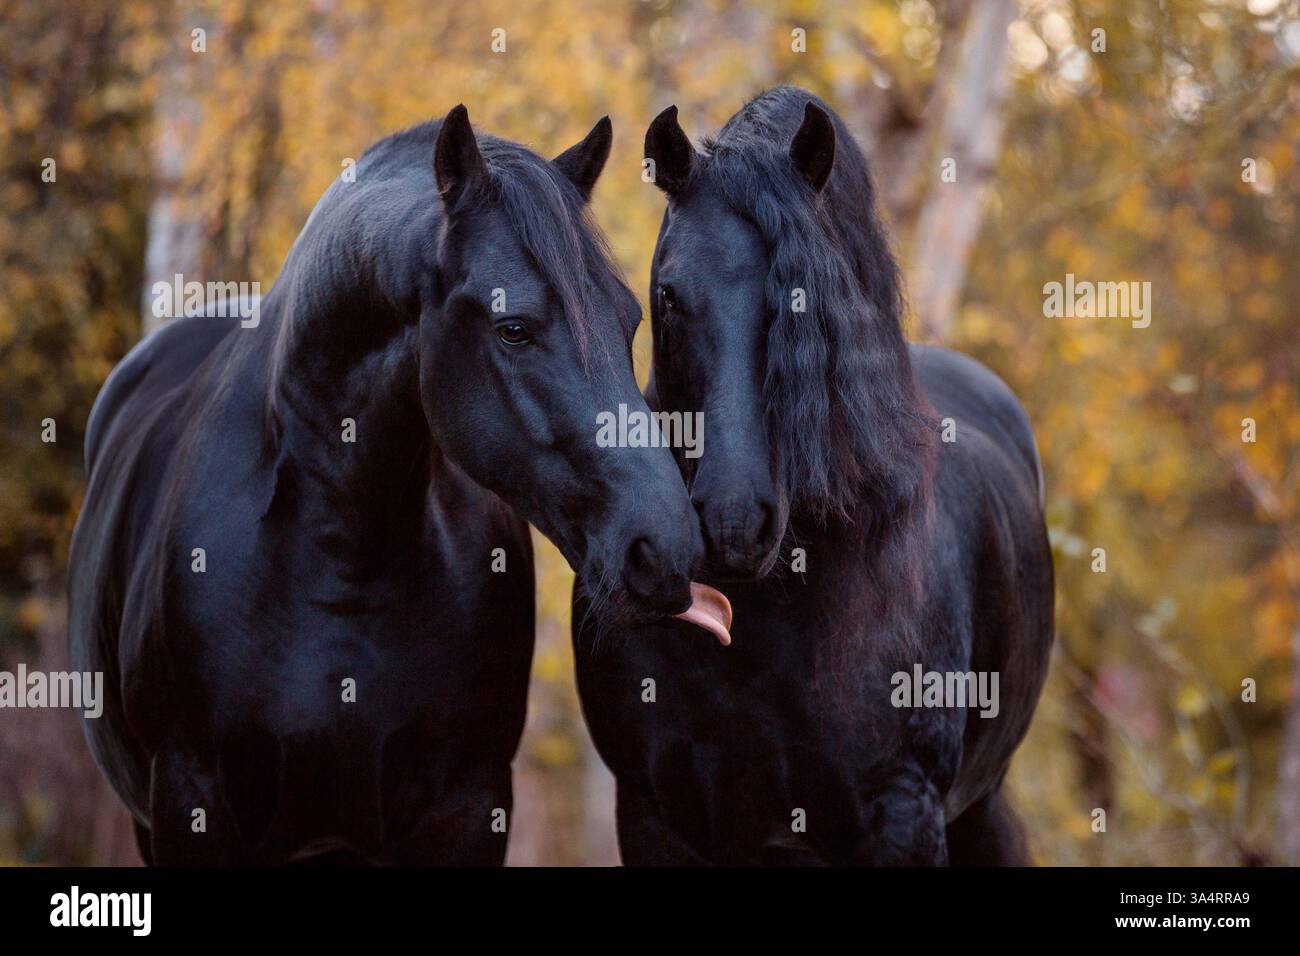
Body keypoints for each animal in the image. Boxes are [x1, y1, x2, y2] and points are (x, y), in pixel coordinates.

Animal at [68, 105, 711, 865]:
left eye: (629, 318)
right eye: (513, 329)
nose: (665, 549)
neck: (339, 554)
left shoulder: (469, 805)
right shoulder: (189, 800)